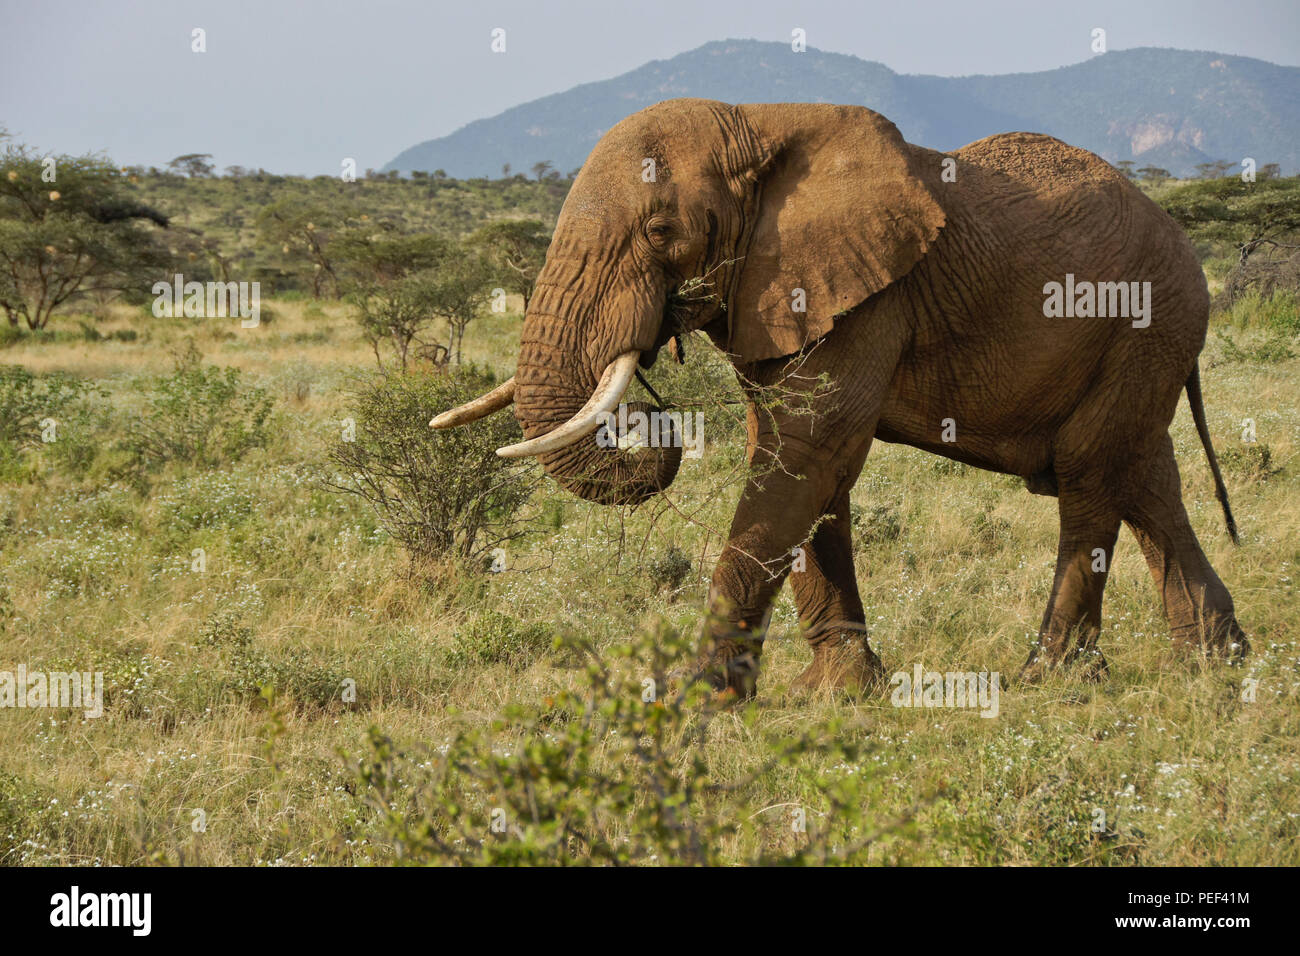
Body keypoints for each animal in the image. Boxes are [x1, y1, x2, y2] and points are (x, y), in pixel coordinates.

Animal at [433, 98, 1248, 698]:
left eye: (661, 229)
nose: (649, 416)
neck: (757, 122)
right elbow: (793, 461)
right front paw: (839, 692)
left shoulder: (868, 296)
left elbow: (809, 452)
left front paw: (695, 700)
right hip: (1146, 342)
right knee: (1142, 474)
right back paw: (1218, 663)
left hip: (1148, 321)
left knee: (1089, 474)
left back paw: (1049, 678)